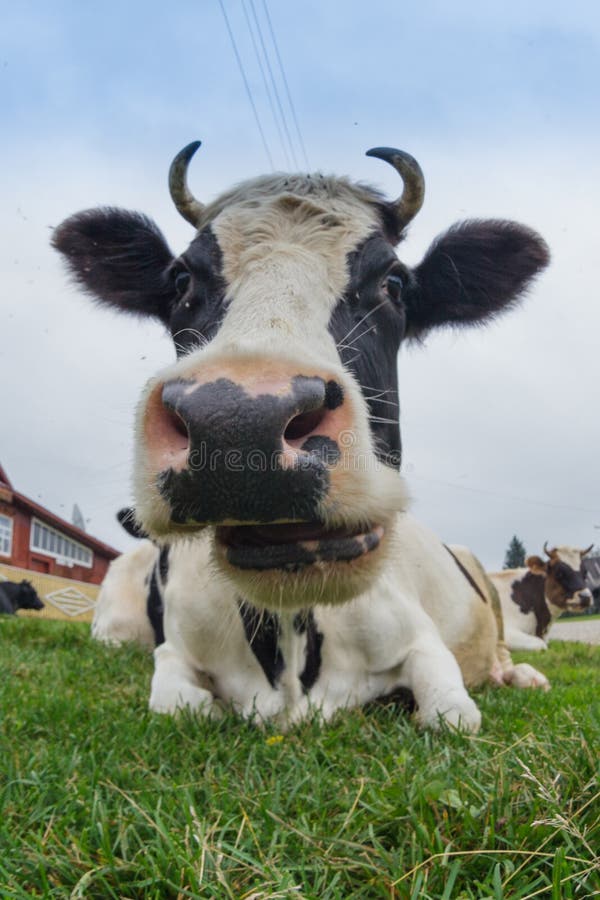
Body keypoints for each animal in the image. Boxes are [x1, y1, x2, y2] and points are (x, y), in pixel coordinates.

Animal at [53, 141, 550, 731]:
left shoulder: (424, 643)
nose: (239, 421)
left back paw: (521, 674)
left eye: (394, 283)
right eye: (181, 281)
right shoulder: (172, 655)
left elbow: (453, 716)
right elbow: (180, 705)